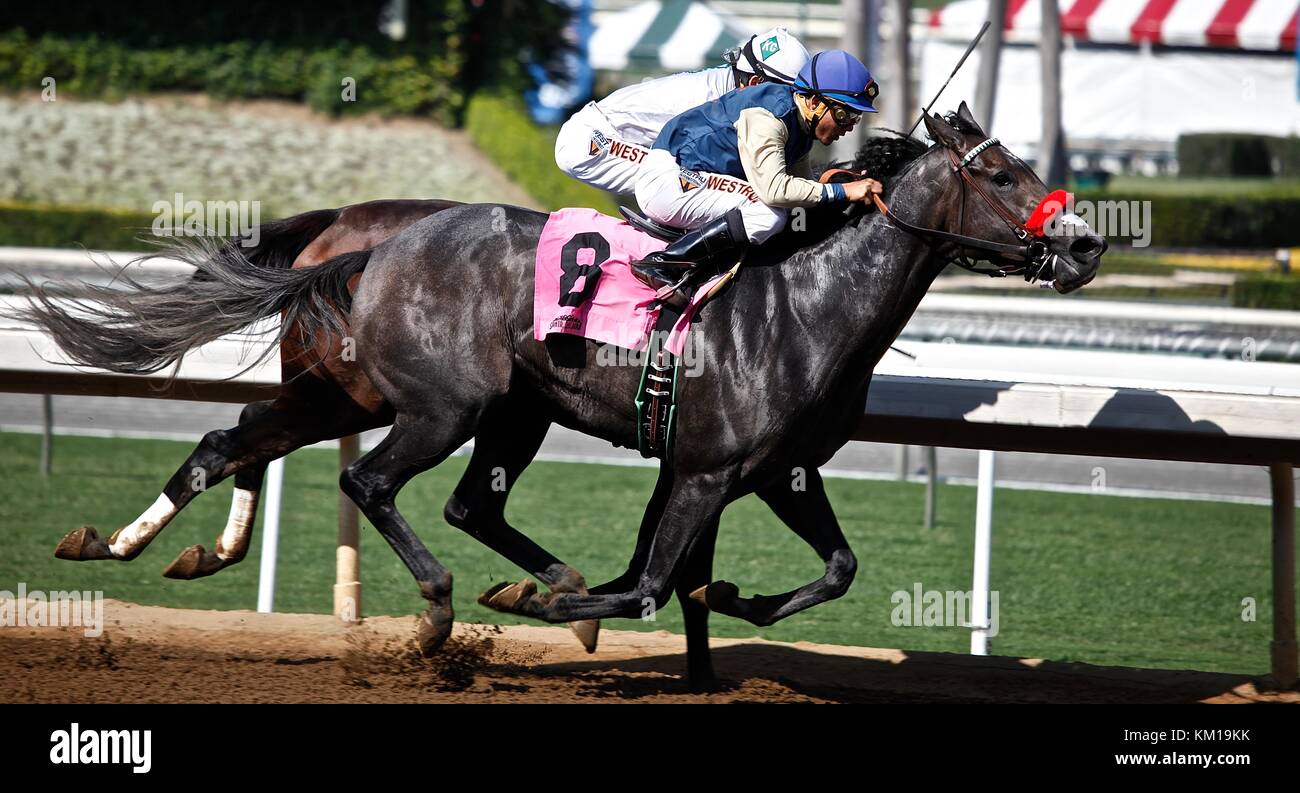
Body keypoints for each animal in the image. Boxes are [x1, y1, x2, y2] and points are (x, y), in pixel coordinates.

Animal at [16, 105, 1105, 689]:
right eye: (1003, 175)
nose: (1088, 243)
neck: (804, 306)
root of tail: (377, 244)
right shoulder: (706, 469)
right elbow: (650, 581)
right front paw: (565, 603)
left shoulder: (773, 469)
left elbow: (832, 567)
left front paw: (730, 598)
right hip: (443, 407)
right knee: (375, 485)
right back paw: (444, 606)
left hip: (416, 398)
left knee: (247, 441)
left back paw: (124, 542)